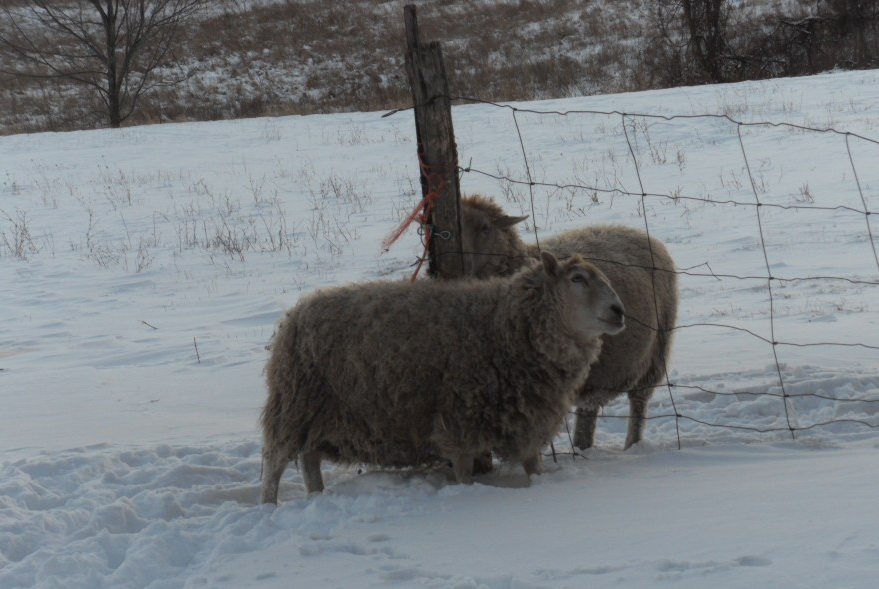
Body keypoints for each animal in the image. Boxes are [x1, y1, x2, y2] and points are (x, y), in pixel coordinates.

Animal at [260, 251, 625, 503]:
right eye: (577, 278)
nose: (619, 311)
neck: (505, 326)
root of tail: (294, 314)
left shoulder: (526, 417)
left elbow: (532, 462)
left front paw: (539, 484)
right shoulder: (458, 417)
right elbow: (463, 469)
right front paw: (467, 492)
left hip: (316, 413)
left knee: (309, 459)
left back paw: (317, 495)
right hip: (293, 406)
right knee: (275, 463)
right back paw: (270, 506)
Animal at [458, 194, 678, 451]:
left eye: (485, 227)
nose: (464, 263)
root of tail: (639, 232)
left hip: (655, 353)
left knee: (638, 403)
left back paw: (632, 445)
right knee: (588, 410)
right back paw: (582, 446)